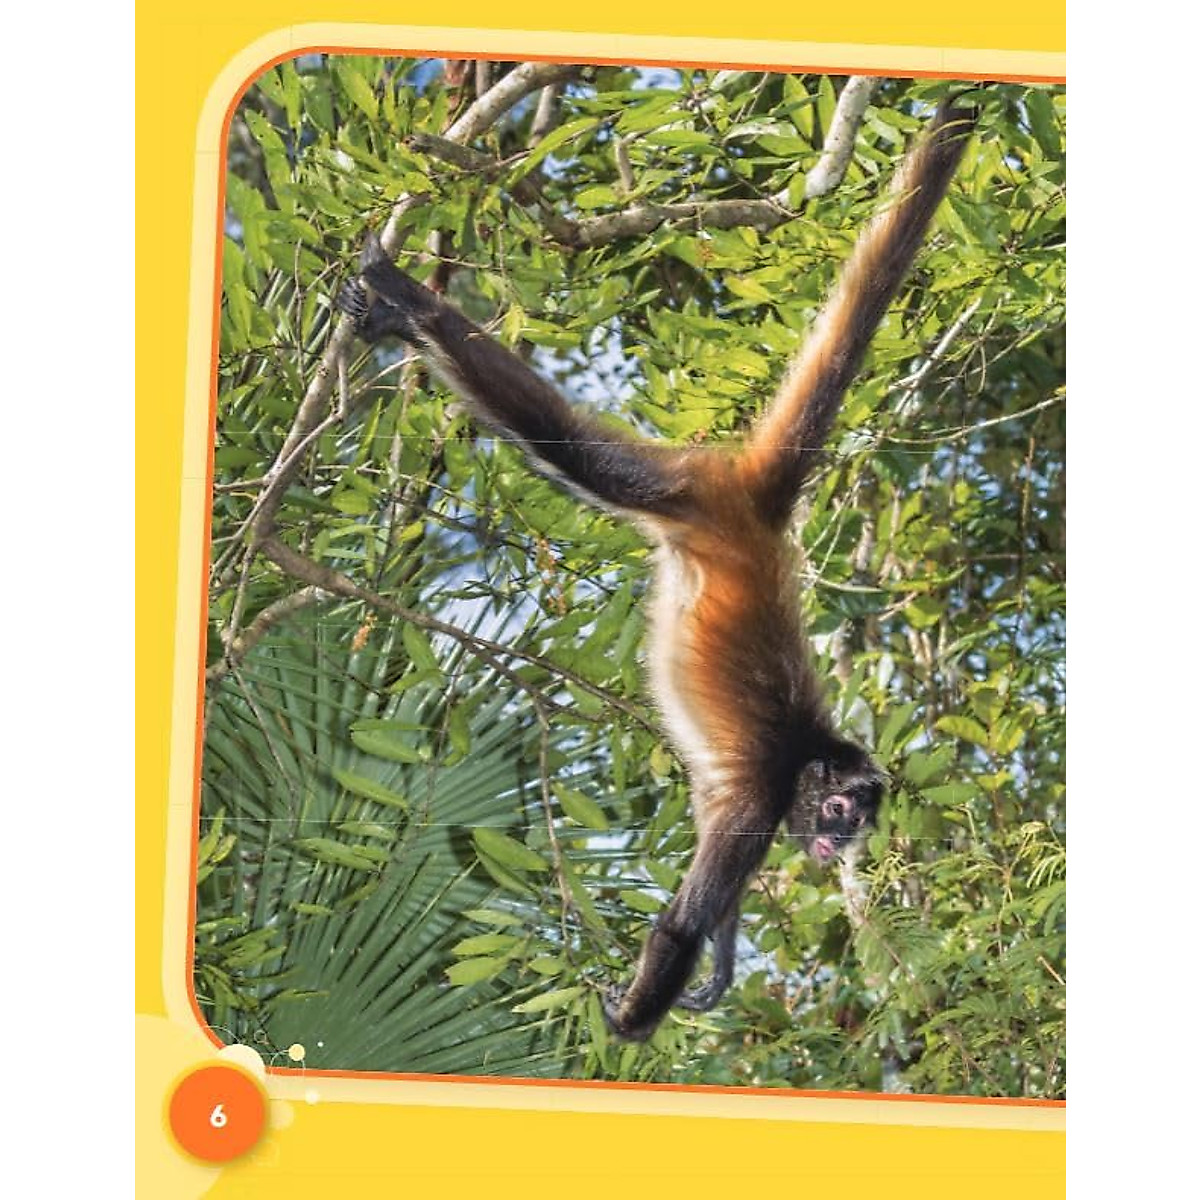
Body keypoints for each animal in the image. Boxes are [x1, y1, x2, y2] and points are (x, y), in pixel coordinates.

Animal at [335, 98, 976, 1041]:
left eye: (861, 824)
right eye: (839, 809)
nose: (838, 841)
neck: (804, 760)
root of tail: (754, 511)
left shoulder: (735, 805)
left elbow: (713, 906)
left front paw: (719, 970)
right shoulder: (760, 803)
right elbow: (679, 923)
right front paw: (633, 1019)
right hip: (676, 488)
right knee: (561, 437)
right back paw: (407, 303)